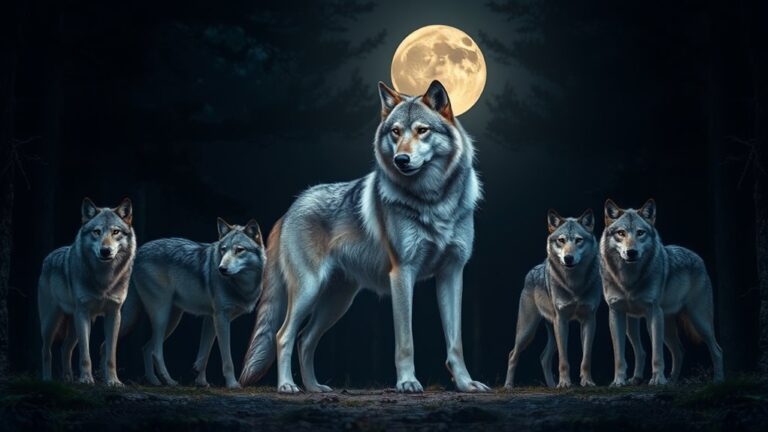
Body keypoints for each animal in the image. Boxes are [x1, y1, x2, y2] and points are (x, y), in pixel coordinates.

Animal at [38, 198, 135, 385]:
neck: (104, 279)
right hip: (51, 322)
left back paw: (68, 378)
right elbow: (85, 355)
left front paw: (113, 381)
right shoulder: (82, 312)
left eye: (115, 232)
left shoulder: (114, 314)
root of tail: (50, 255)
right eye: (97, 232)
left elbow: (110, 355)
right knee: (46, 351)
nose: (106, 251)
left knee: (65, 348)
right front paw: (86, 379)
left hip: (75, 324)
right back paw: (47, 380)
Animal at [120, 218, 264, 388]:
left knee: (143, 348)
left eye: (239, 250)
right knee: (155, 351)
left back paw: (150, 381)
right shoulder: (221, 319)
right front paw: (232, 384)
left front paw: (201, 381)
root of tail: (138, 252)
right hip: (162, 317)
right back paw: (168, 381)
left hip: (169, 319)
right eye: (223, 250)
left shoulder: (211, 319)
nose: (221, 269)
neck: (242, 286)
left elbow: (204, 354)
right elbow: (227, 358)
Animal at [238, 80, 489, 394]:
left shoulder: (452, 273)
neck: (434, 202)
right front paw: (407, 382)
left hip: (337, 301)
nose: (401, 159)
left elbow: (455, 343)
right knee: (283, 336)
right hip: (309, 291)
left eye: (422, 130)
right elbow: (406, 341)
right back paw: (287, 386)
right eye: (396, 132)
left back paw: (314, 388)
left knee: (305, 340)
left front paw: (466, 384)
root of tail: (290, 209)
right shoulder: (402, 273)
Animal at [504, 209, 601, 389]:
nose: (568, 258)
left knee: (544, 358)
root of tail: (534, 269)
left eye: (578, 240)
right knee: (512, 354)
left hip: (550, 331)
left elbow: (586, 358)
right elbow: (563, 360)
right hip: (528, 331)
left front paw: (587, 381)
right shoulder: (561, 321)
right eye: (561, 240)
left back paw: (551, 386)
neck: (574, 285)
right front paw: (564, 383)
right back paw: (508, 386)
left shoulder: (589, 320)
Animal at [600, 199, 724, 385]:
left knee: (717, 350)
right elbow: (619, 356)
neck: (629, 280)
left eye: (640, 233)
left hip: (698, 321)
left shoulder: (653, 313)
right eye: (621, 233)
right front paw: (618, 381)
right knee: (674, 351)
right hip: (642, 324)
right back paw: (664, 381)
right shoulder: (616, 313)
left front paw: (658, 379)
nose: (631, 252)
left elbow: (657, 354)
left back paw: (718, 380)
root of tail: (697, 256)